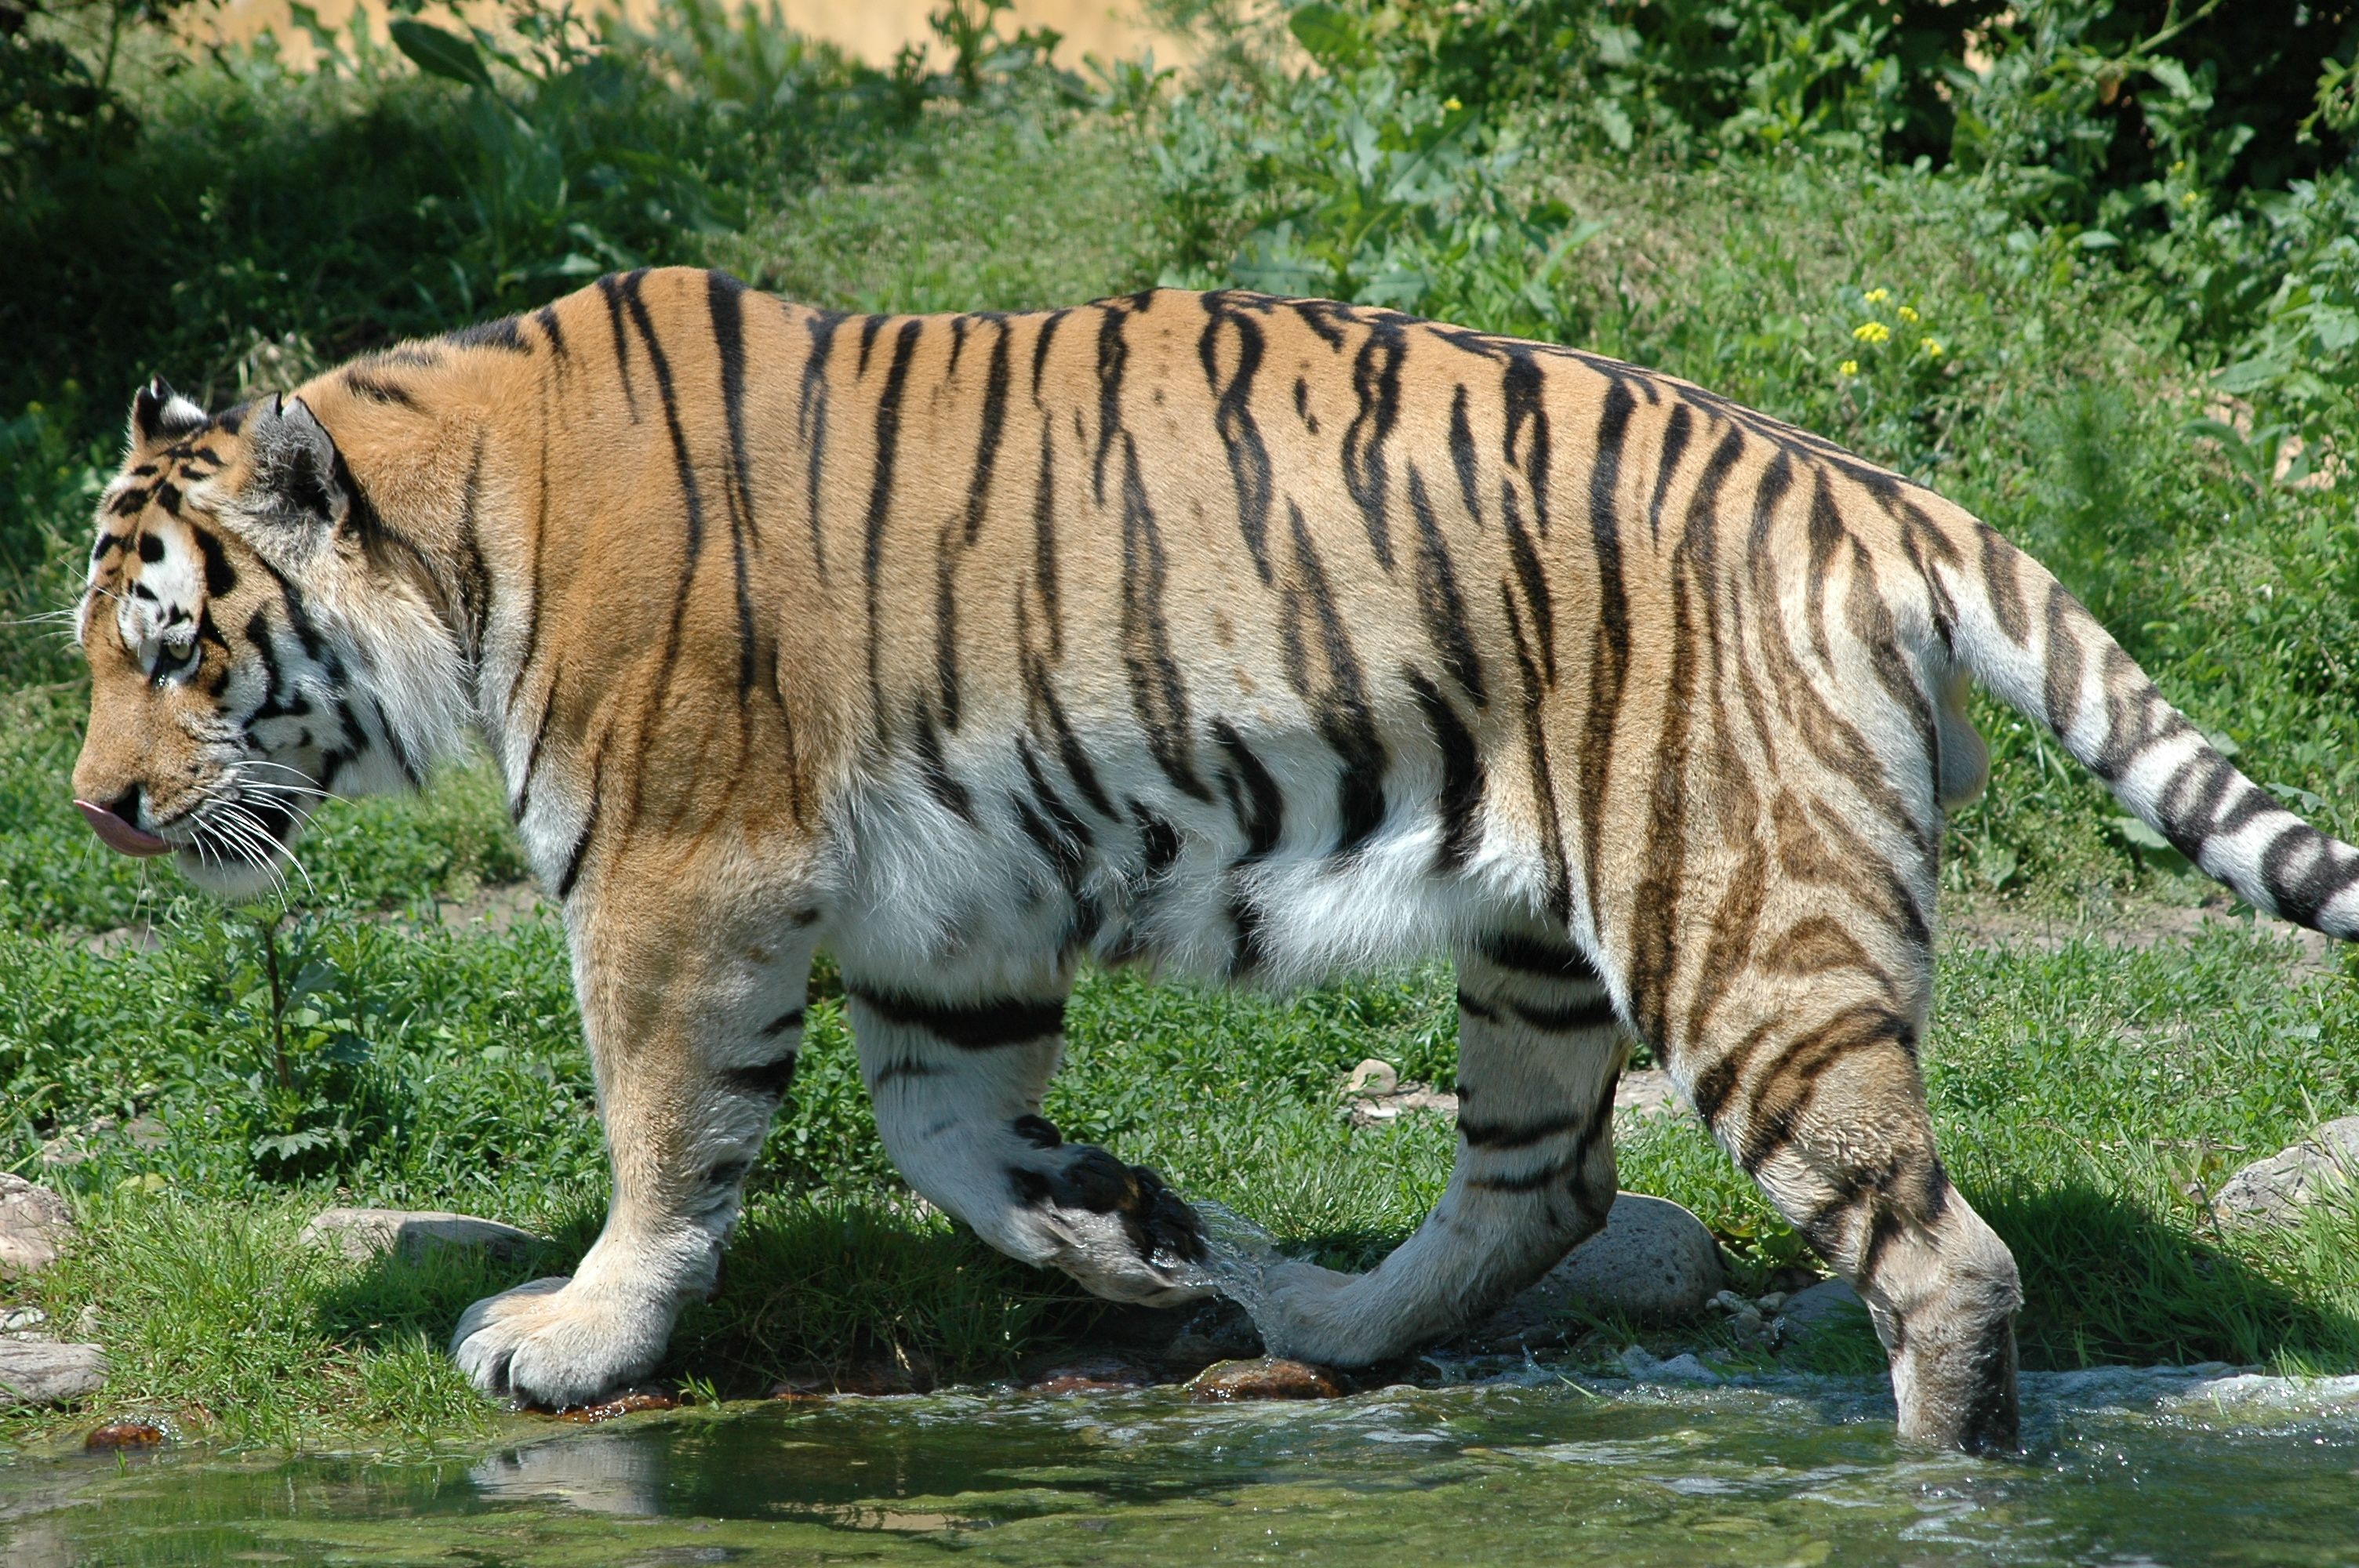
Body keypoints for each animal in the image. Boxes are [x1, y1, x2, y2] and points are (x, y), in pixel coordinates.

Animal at [66, 267, 2359, 1452]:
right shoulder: (942, 908)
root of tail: (1873, 489)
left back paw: (1937, 1474)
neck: (454, 532)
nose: (95, 804)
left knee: (1939, 1258)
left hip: (1737, 928)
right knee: (1543, 1184)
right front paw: (1125, 1229)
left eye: (169, 649)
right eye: (97, 651)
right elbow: (947, 1132)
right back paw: (1311, 1322)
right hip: (1541, 934)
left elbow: (663, 1134)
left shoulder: (675, 871)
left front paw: (569, 1337)